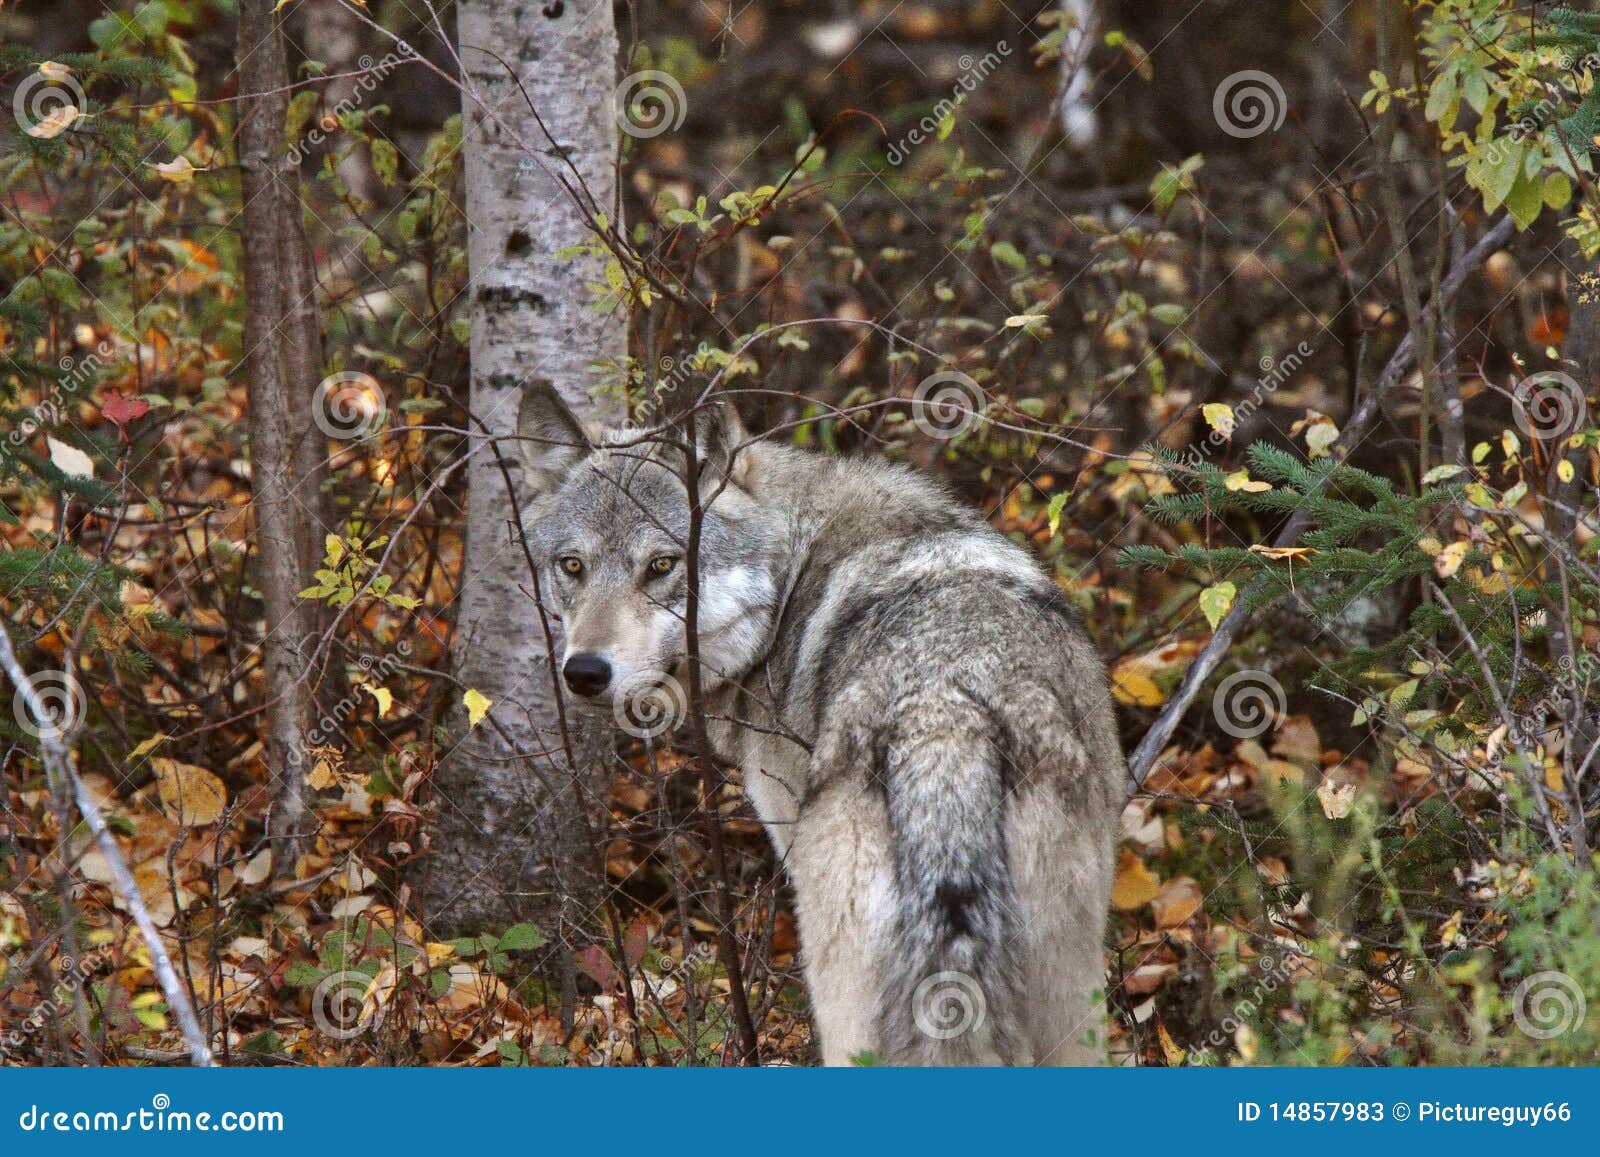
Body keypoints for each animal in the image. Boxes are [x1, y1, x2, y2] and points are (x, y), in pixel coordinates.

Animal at [515, 382, 1124, 1065]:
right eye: (571, 566)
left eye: (662, 565)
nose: (585, 672)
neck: (791, 576)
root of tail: (944, 723)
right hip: (1073, 1003)